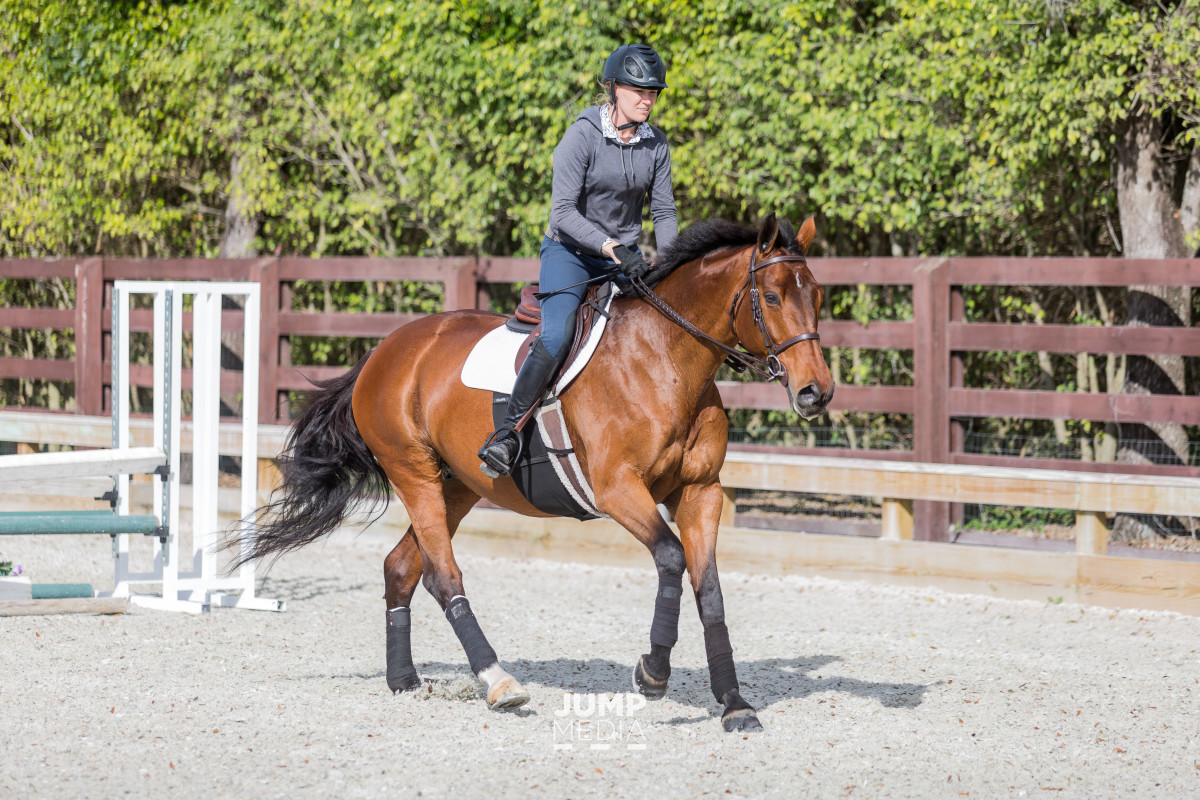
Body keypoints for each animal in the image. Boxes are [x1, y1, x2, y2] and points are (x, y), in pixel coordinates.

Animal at [240, 213, 833, 732]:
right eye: (772, 297)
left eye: (818, 298)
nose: (815, 393)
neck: (664, 360)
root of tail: (385, 350)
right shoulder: (618, 489)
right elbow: (670, 558)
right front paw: (653, 672)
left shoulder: (701, 493)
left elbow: (708, 589)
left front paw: (734, 704)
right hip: (415, 475)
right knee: (442, 575)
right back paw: (499, 681)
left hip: (457, 485)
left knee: (401, 567)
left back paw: (404, 679)